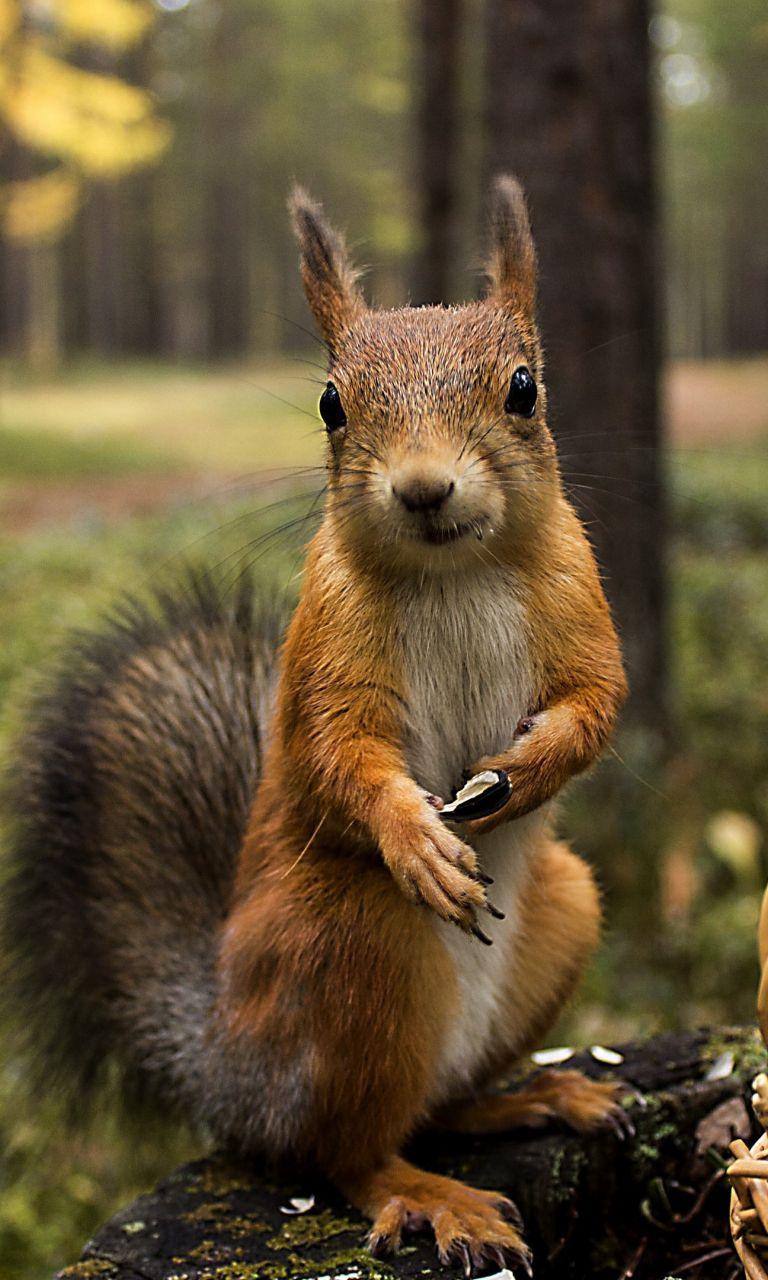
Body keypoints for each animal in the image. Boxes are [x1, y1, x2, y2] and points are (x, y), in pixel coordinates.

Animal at [2, 175, 628, 1274]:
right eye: (333, 403)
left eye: (524, 388)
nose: (424, 488)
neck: (455, 569)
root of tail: (228, 1069)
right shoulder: (328, 649)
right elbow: (340, 754)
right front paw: (415, 836)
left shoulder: (579, 599)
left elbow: (597, 701)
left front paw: (529, 769)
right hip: (352, 947)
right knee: (346, 1149)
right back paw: (430, 1194)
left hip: (565, 911)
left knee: (438, 1104)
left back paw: (534, 1095)